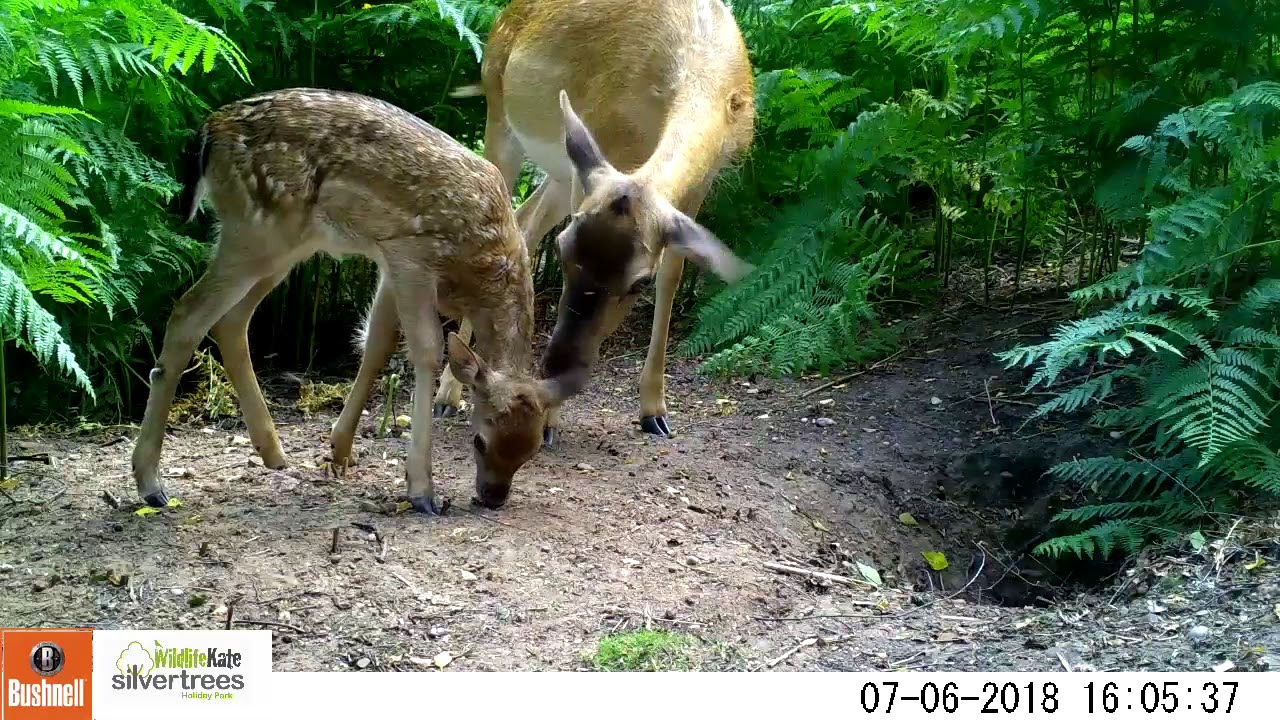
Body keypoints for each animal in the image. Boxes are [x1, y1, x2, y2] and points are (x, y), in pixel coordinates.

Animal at [130, 88, 586, 514]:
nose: (493, 496)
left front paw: (339, 451)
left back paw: (272, 451)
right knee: (188, 312)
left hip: (288, 244)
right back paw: (151, 483)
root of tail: (209, 131)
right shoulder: (411, 255)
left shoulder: (389, 260)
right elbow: (425, 350)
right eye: (479, 440)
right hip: (256, 229)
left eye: (532, 449)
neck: (480, 271)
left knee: (231, 319)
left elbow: (377, 344)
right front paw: (421, 490)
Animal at [419, 0, 757, 448]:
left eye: (640, 282)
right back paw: (446, 397)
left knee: (524, 225)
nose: (557, 365)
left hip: (560, 171)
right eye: (562, 250)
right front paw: (549, 423)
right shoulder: (598, 151)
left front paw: (655, 413)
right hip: (500, 119)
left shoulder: (697, 187)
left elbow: (673, 274)